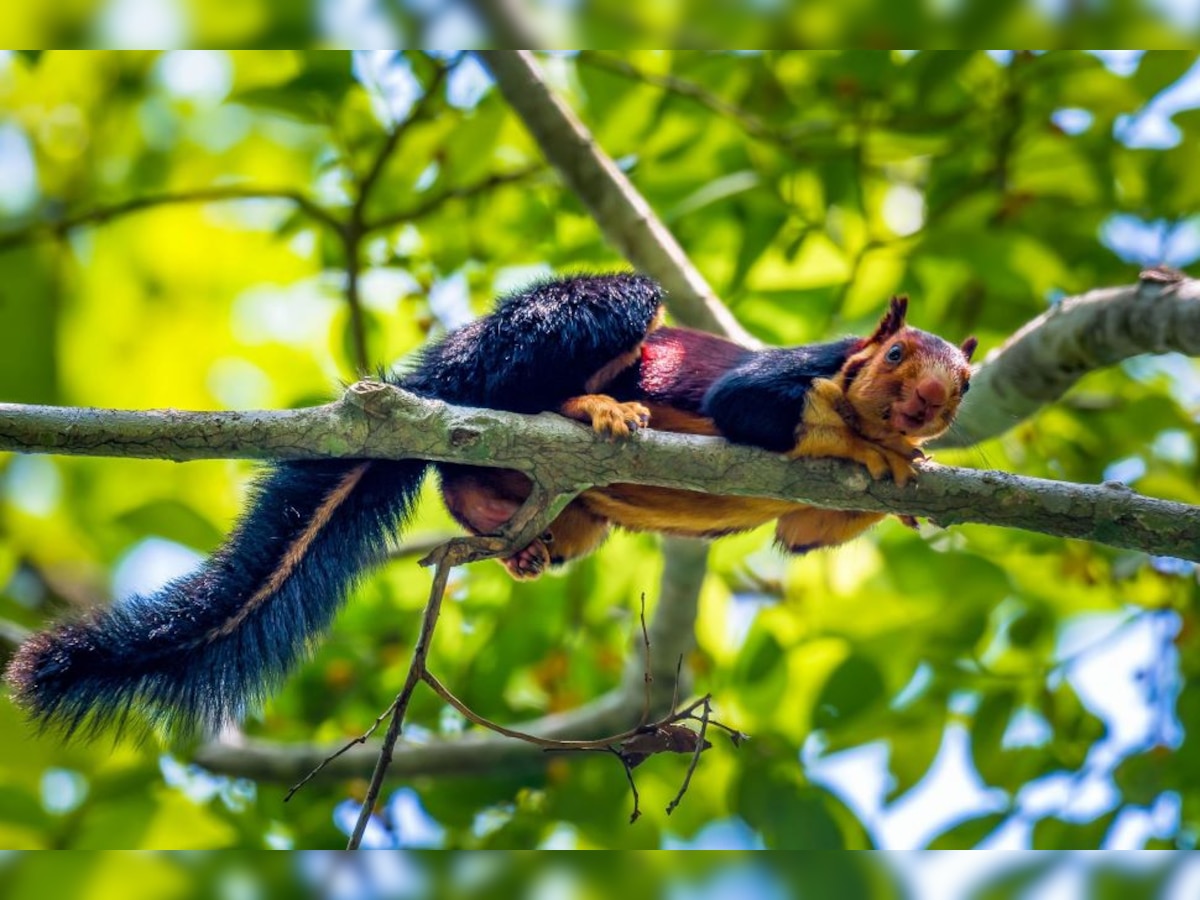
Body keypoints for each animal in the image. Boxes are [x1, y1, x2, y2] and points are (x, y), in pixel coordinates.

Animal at [5, 273, 976, 738]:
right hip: (556, 332)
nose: (927, 404)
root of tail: (441, 375)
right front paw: (868, 442)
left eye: (963, 382)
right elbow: (763, 408)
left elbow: (806, 529)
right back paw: (589, 407)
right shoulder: (791, 372)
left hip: (555, 507)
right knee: (524, 384)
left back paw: (525, 539)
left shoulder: (806, 517)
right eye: (896, 357)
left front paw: (910, 466)